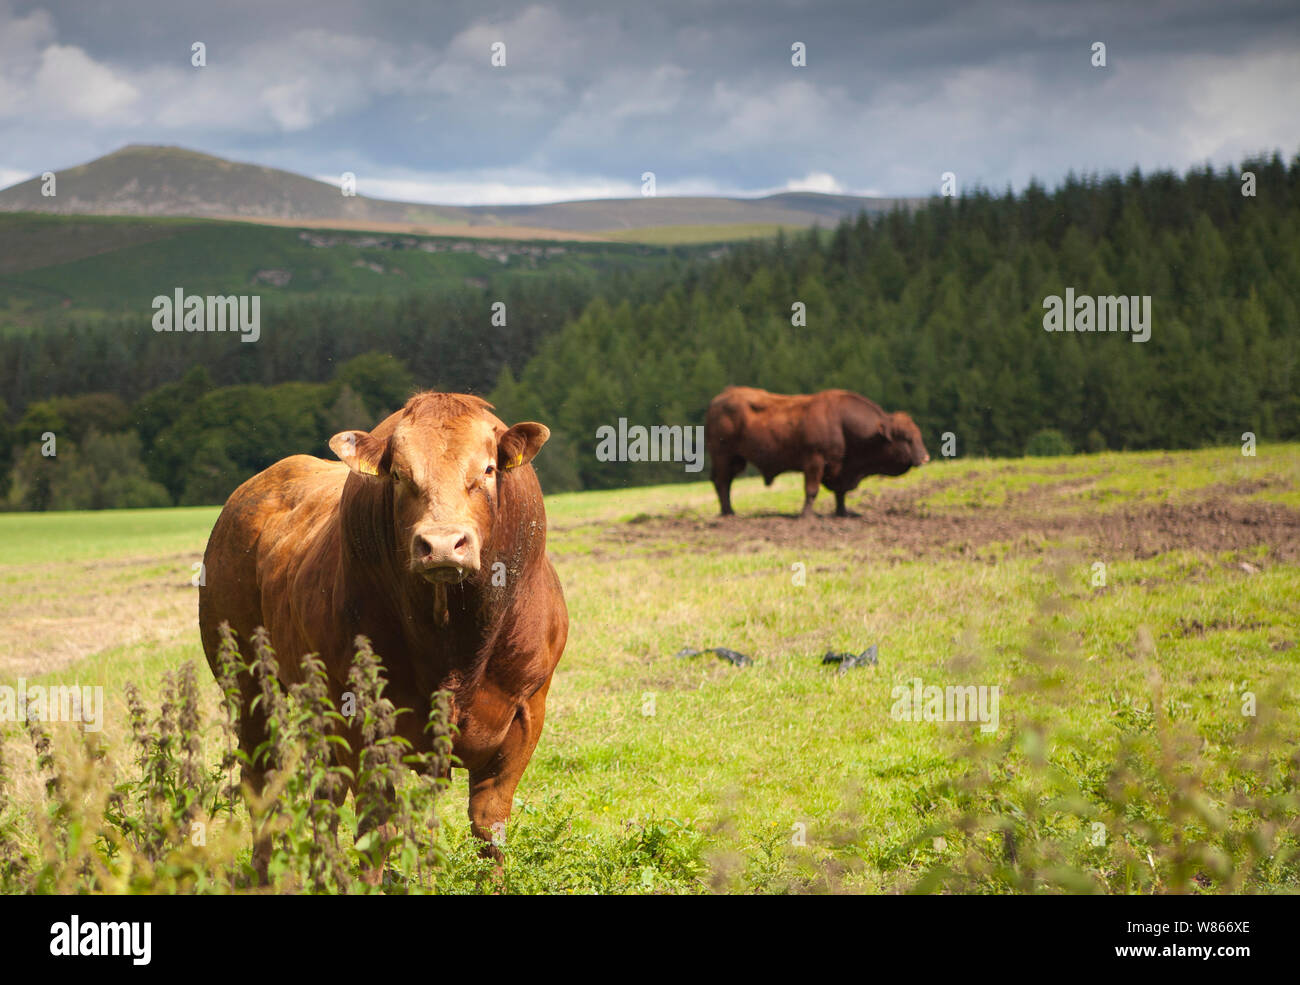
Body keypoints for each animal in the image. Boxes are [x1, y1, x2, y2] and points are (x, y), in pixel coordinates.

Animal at [198, 392, 567, 878]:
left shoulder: (527, 710)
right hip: (246, 685)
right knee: (262, 782)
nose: (442, 545)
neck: (454, 639)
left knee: (324, 791)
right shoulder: (360, 711)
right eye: (398, 475)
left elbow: (489, 825)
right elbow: (378, 826)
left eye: (488, 469)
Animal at [705, 386, 929, 518]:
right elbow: (811, 490)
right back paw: (728, 513)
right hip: (723, 456)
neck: (842, 423)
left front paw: (842, 513)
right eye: (906, 437)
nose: (925, 457)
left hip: (736, 459)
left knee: (725, 482)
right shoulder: (814, 461)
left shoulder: (841, 468)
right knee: (722, 482)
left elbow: (840, 493)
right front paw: (806, 516)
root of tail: (721, 397)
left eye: (918, 434)